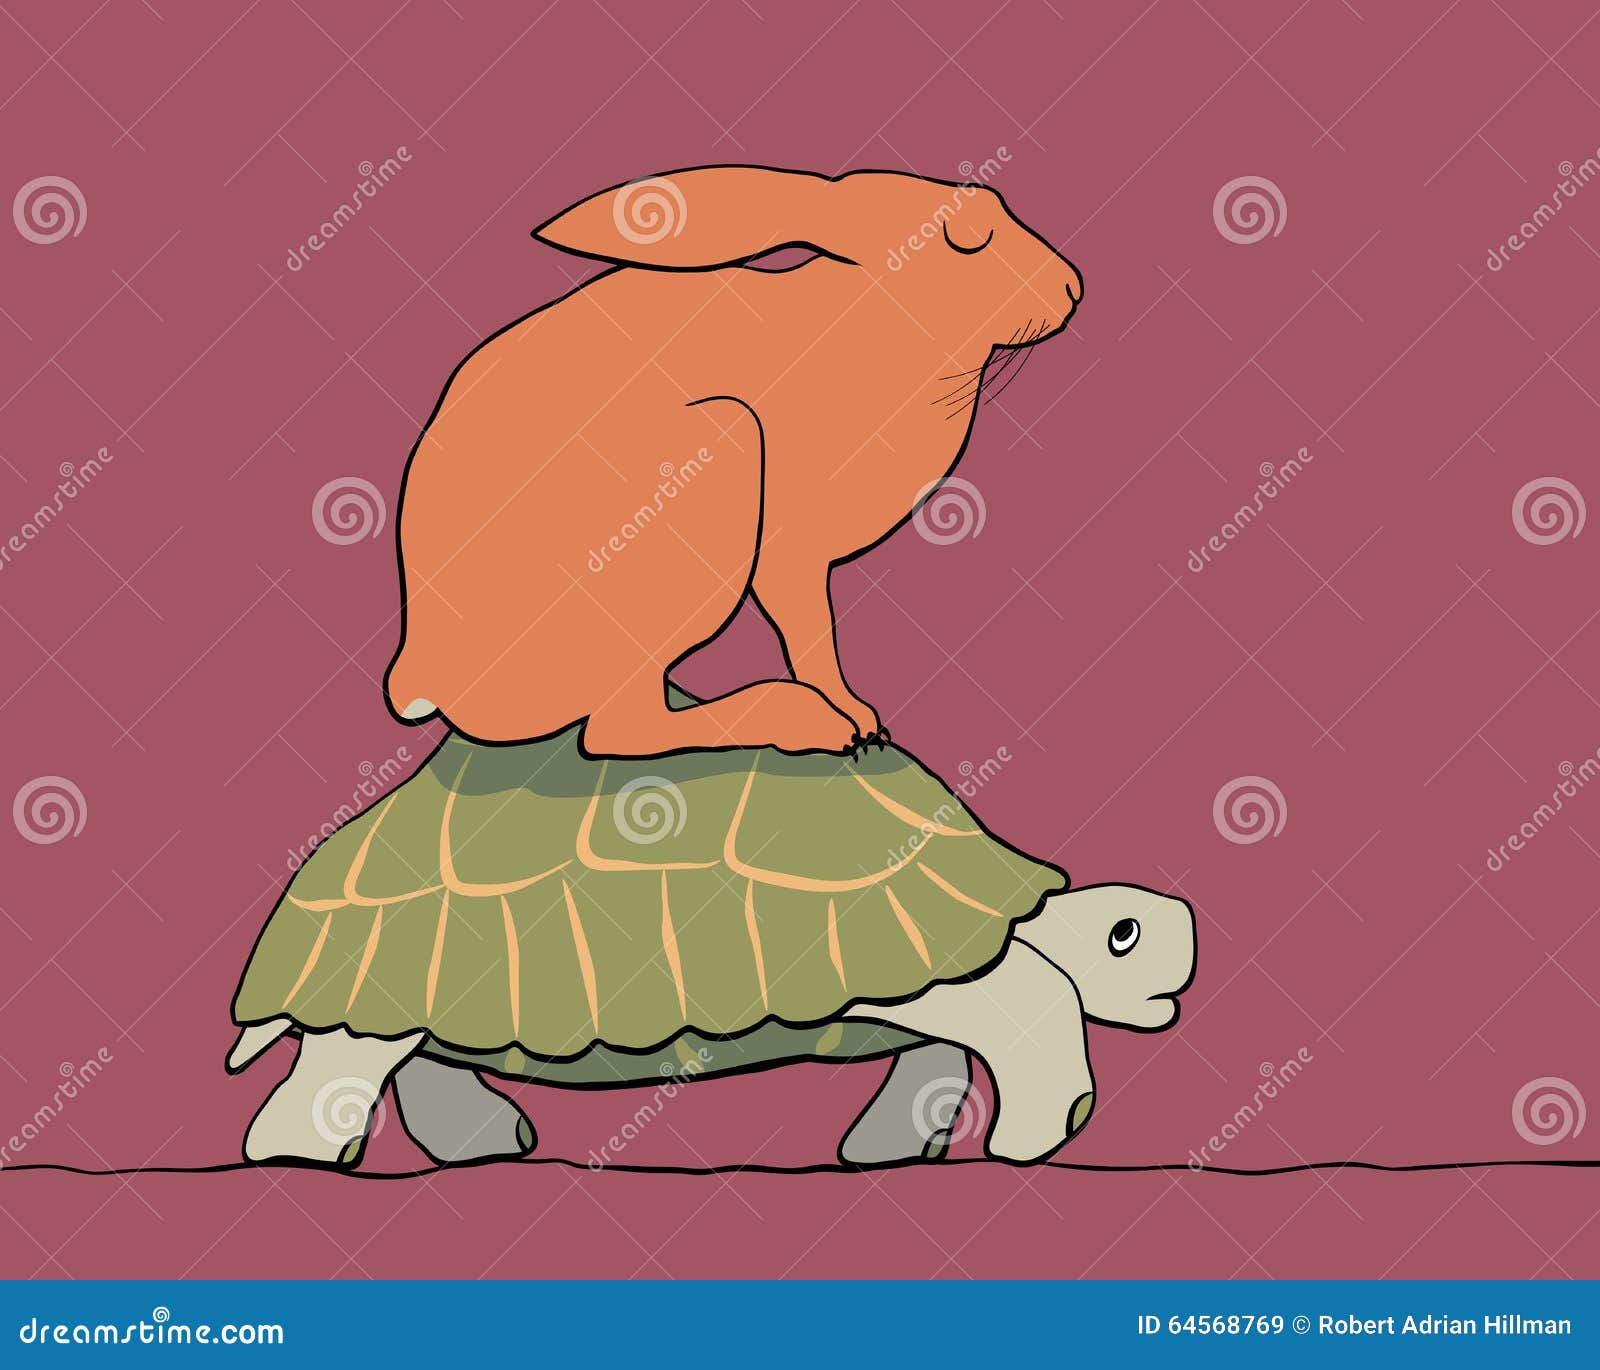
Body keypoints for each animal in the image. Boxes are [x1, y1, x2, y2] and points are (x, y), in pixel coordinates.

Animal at [384, 165, 1081, 757]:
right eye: (965, 242)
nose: (1073, 288)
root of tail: (426, 671)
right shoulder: (790, 555)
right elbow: (813, 633)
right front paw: (857, 719)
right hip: (715, 463)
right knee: (619, 732)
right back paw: (804, 721)